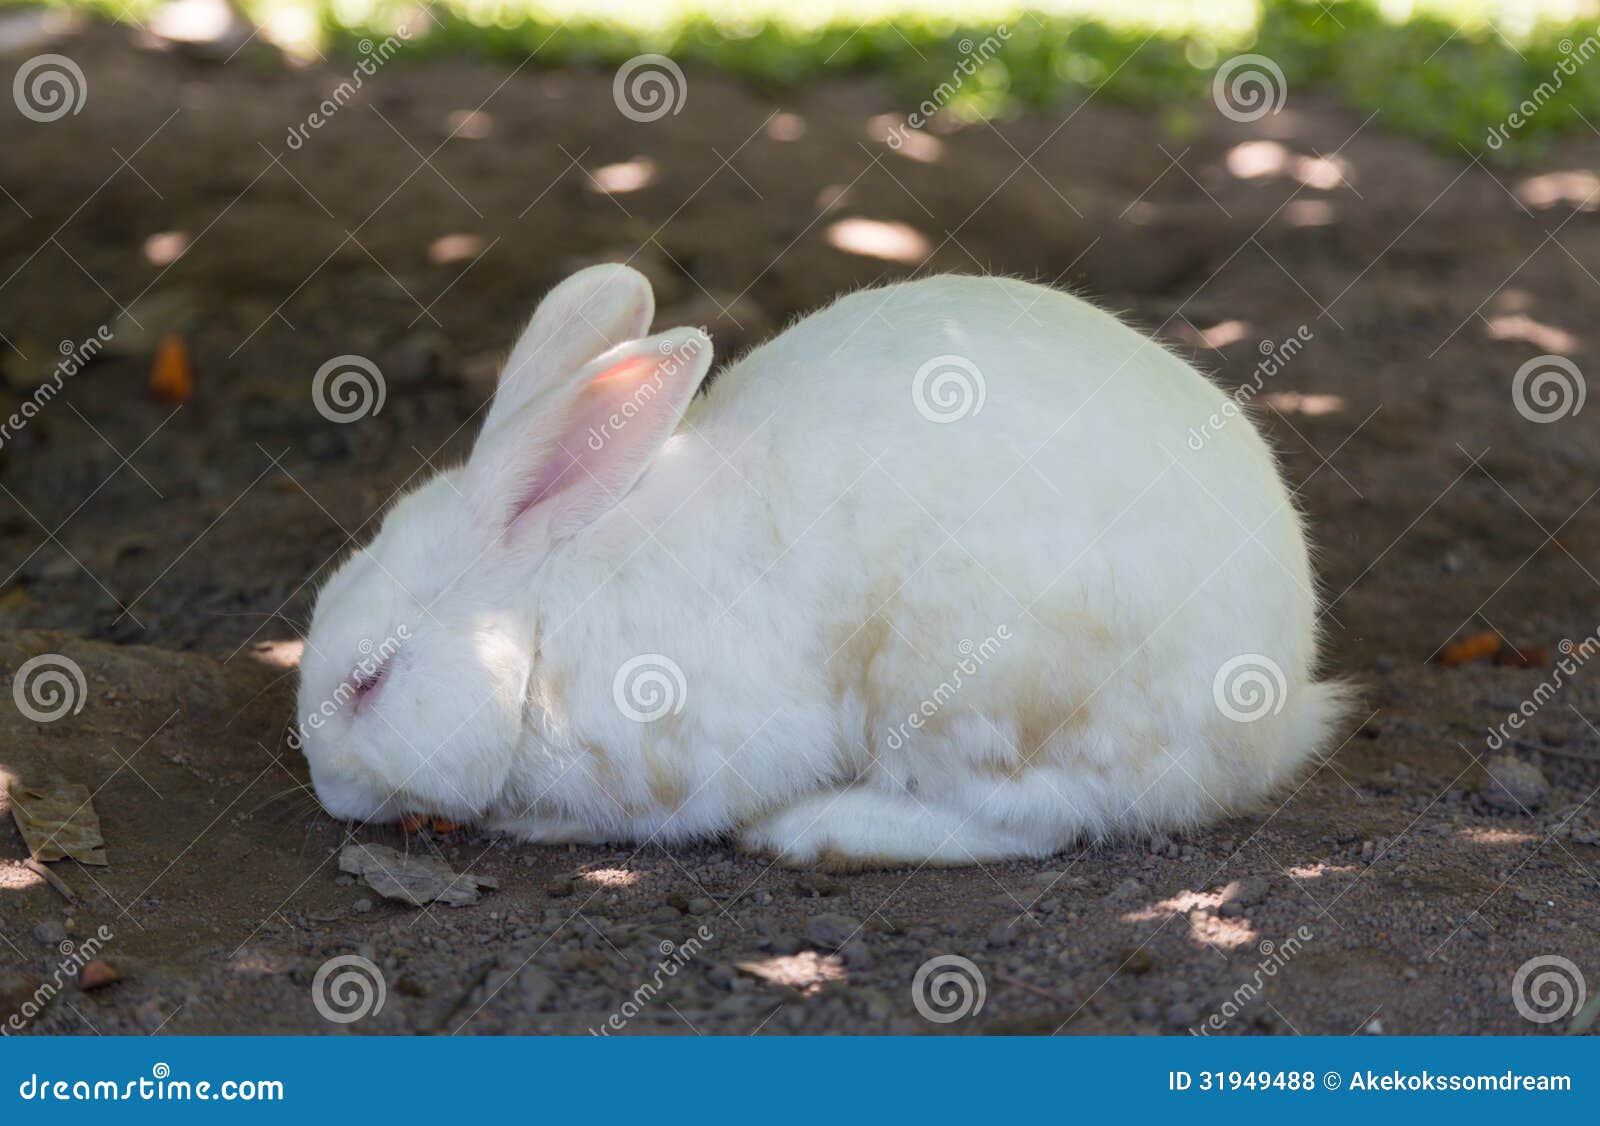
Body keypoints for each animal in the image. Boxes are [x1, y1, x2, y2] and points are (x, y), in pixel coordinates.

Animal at [295, 264, 1351, 868]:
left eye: (369, 681)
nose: (327, 792)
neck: (538, 621)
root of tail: (1274, 711)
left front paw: (532, 827)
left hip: (974, 684)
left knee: (1037, 820)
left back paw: (814, 832)